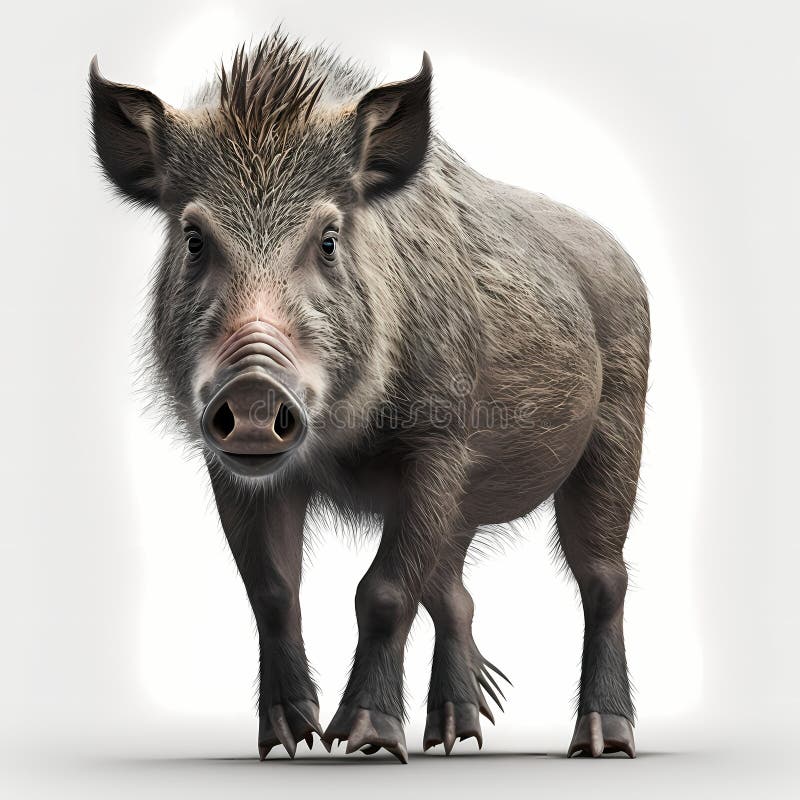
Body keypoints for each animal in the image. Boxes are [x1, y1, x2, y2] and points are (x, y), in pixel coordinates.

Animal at [90, 31, 649, 763]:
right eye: (194, 239)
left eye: (328, 240)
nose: (254, 392)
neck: (340, 443)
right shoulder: (230, 466)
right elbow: (272, 589)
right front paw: (288, 741)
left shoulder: (439, 441)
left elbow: (381, 592)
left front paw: (364, 742)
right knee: (454, 592)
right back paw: (454, 736)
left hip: (619, 428)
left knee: (603, 578)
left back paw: (602, 742)